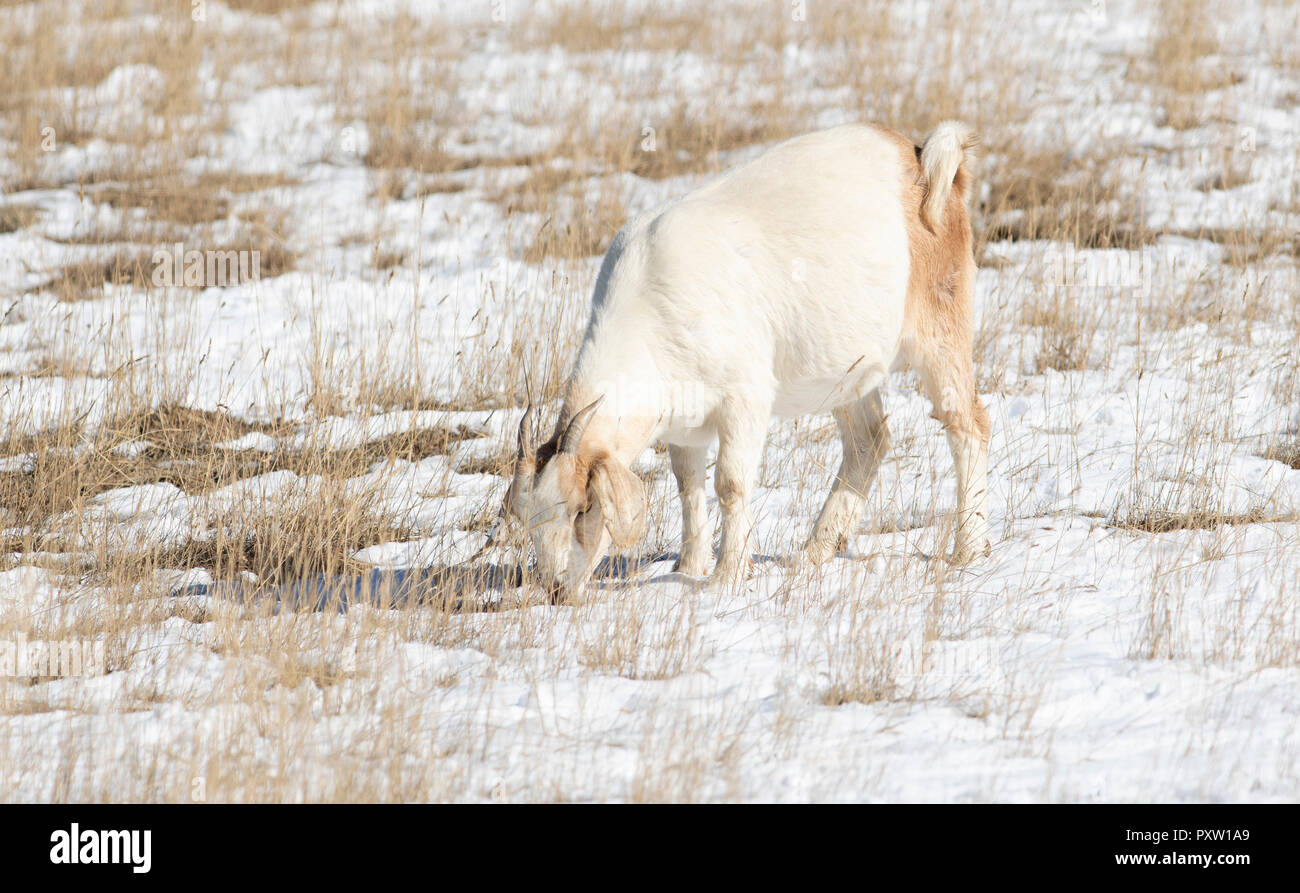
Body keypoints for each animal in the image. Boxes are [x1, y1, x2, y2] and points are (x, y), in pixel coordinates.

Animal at [505, 121, 990, 598]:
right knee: (868, 440)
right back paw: (814, 552)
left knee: (967, 425)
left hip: (940, 331)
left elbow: (730, 483)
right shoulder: (684, 420)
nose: (556, 588)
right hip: (849, 371)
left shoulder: (745, 401)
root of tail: (924, 162)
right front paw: (689, 566)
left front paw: (727, 576)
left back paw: (967, 550)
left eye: (582, 507)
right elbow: (688, 485)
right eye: (526, 517)